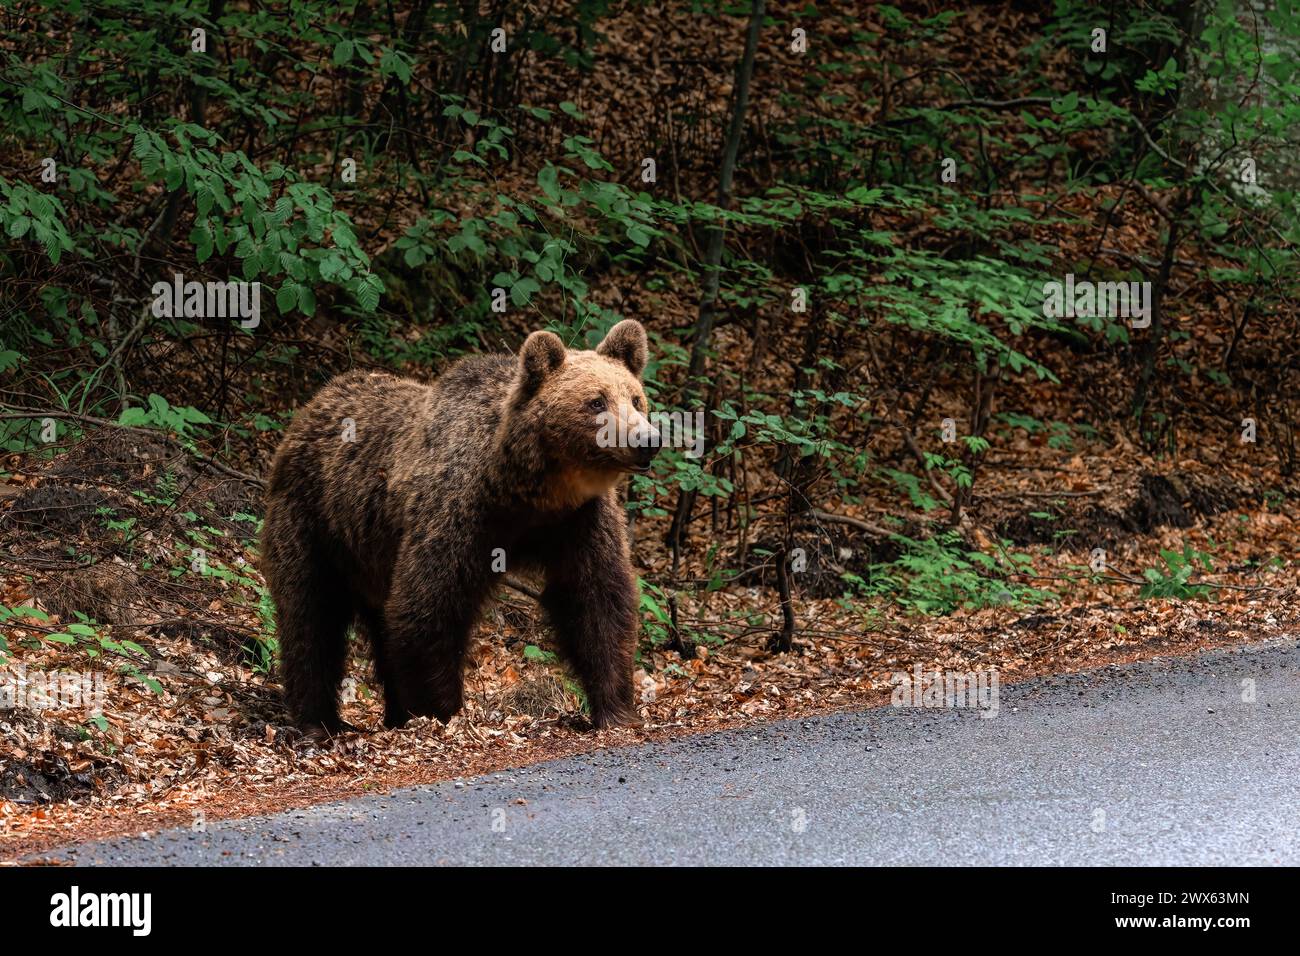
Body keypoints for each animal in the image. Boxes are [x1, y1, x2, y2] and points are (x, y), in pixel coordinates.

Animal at [260, 319, 659, 737]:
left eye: (635, 399)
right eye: (596, 401)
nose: (646, 440)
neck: (528, 492)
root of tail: (312, 405)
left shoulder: (578, 521)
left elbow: (598, 600)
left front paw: (616, 710)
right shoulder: (460, 512)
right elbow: (429, 605)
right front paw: (441, 712)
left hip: (369, 552)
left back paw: (391, 713)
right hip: (313, 521)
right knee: (310, 615)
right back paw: (318, 720)